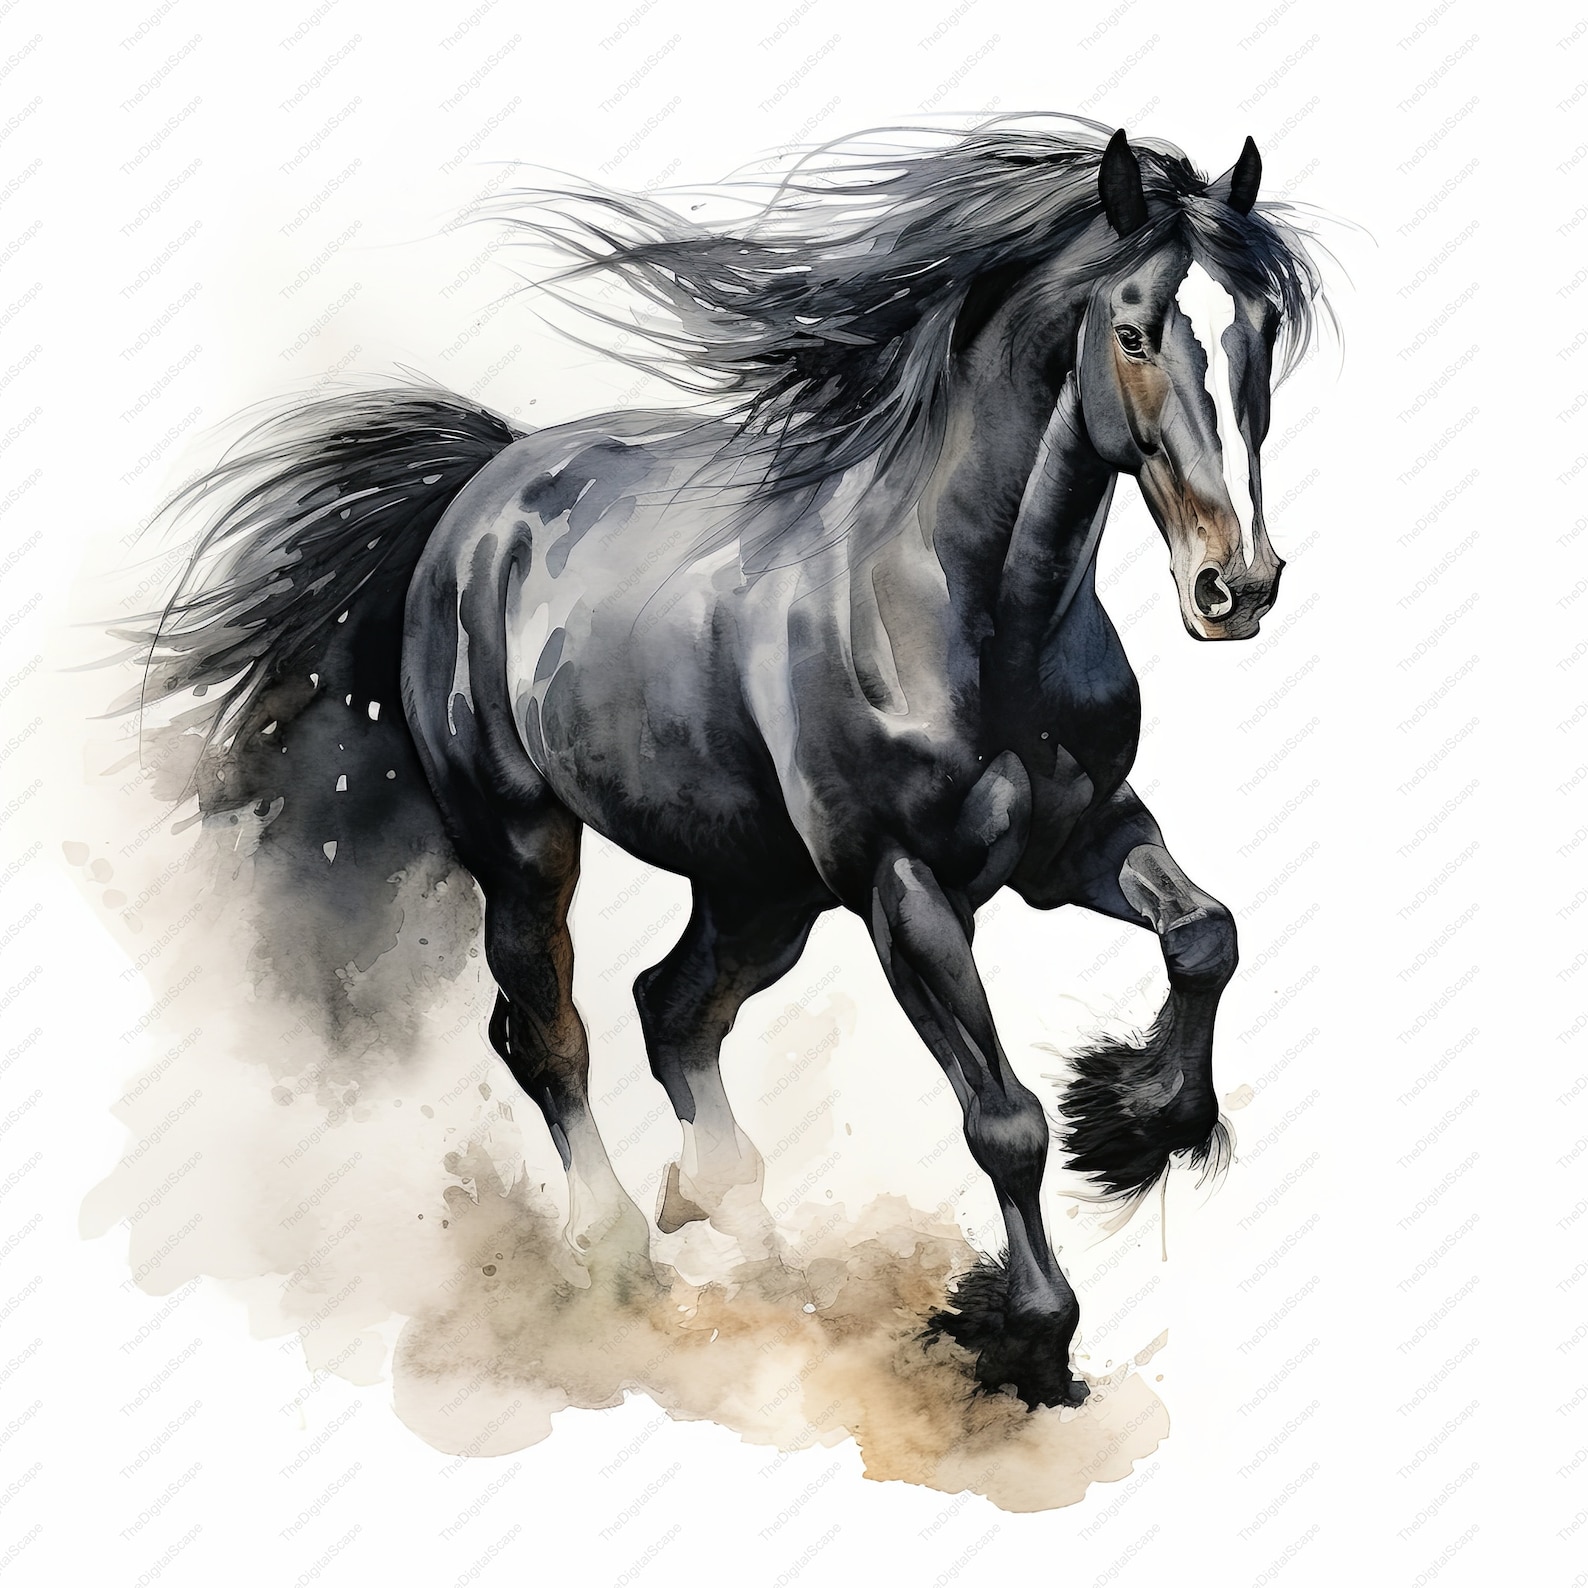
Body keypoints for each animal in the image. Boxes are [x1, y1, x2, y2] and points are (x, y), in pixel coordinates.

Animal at [124, 120, 1325, 1410]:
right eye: (1134, 330)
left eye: (1260, 330)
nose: (1236, 587)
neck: (970, 614)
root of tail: (486, 486)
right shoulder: (905, 888)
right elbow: (1002, 1119)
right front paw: (1032, 1340)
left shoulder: (1082, 837)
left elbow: (1205, 936)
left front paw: (1133, 1122)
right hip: (529, 844)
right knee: (546, 1027)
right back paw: (616, 1252)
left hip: (761, 886)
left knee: (673, 1007)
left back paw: (749, 1243)